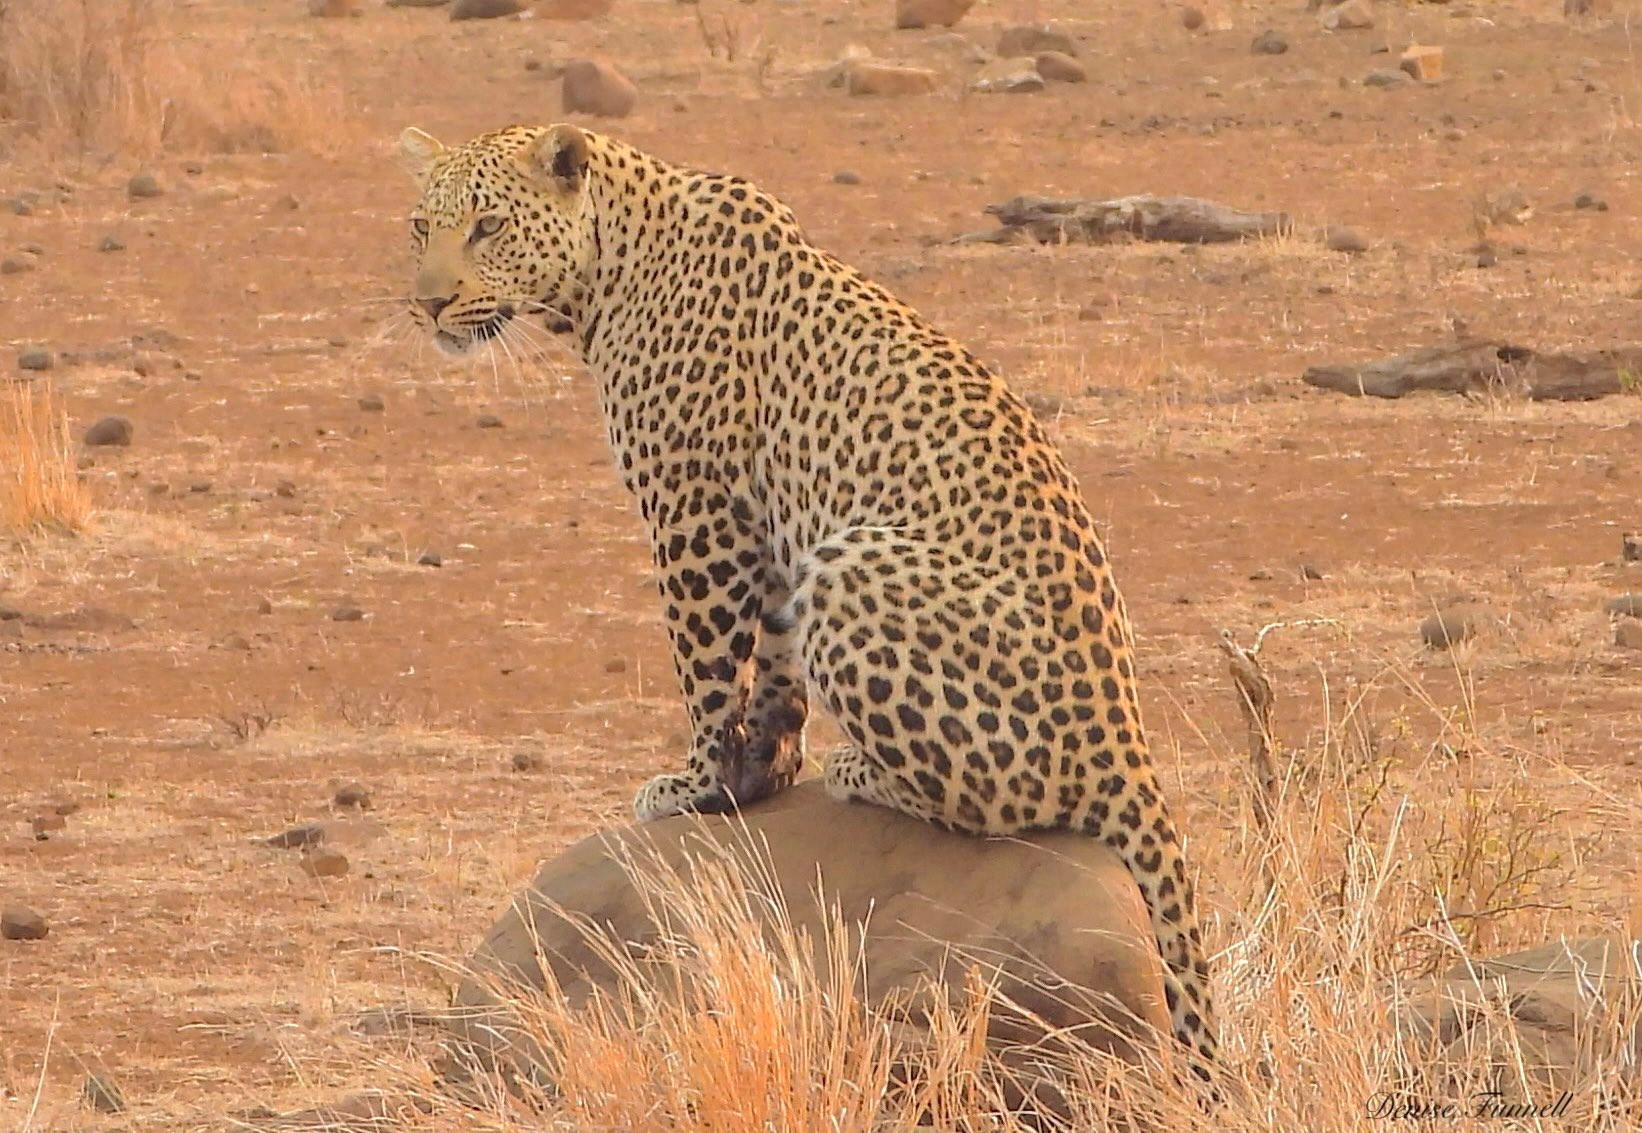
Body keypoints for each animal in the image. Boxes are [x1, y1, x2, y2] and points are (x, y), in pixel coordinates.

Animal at [396, 122, 1218, 1085]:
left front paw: (698, 782)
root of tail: (1128, 740)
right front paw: (763, 766)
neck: (610, 271)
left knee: (1012, 805)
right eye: (423, 227)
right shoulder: (772, 524)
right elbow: (774, 667)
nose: (429, 304)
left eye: (487, 226)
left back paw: (862, 771)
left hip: (853, 561)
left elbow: (706, 660)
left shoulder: (697, 509)